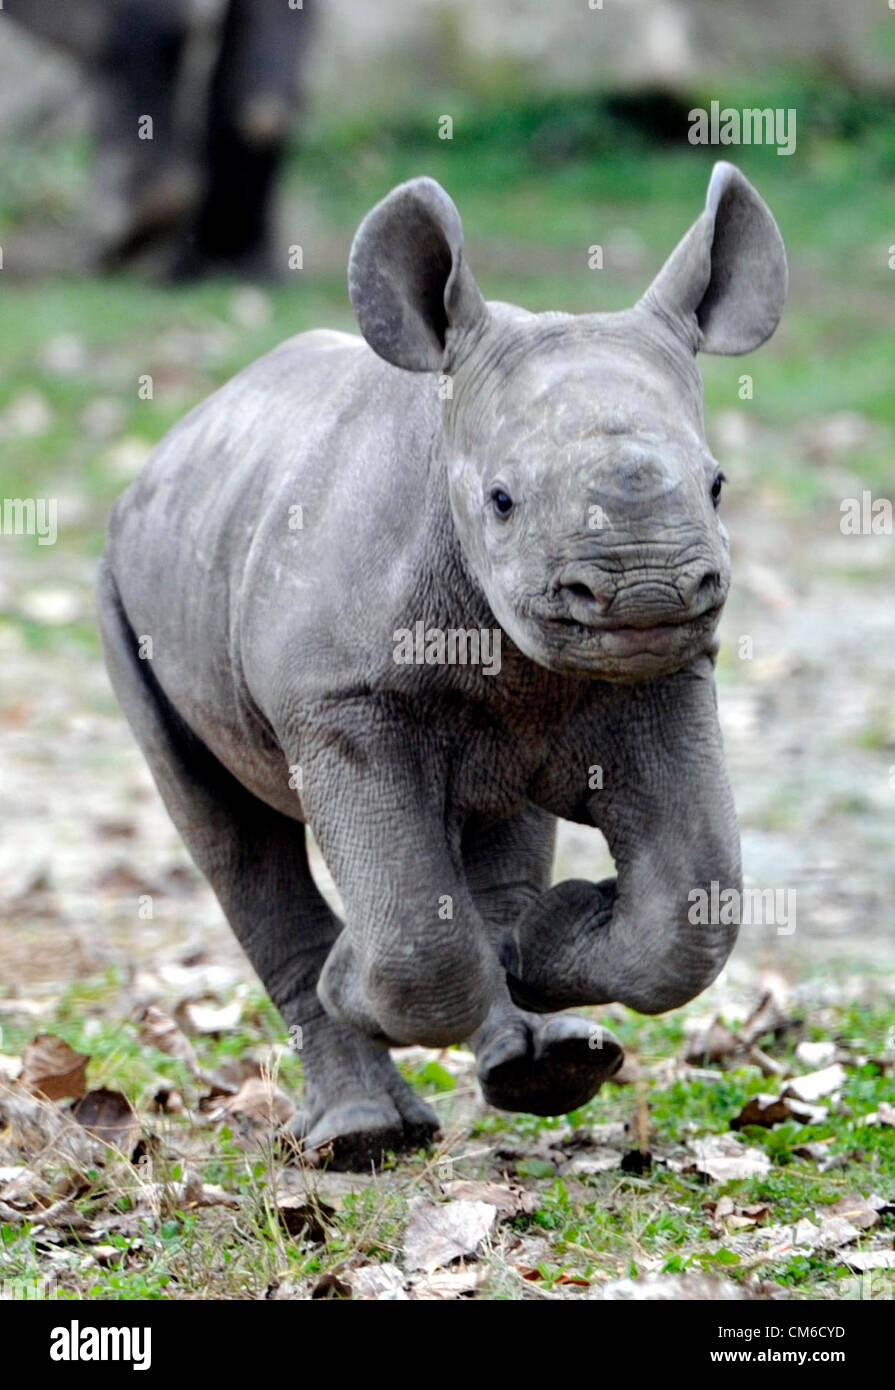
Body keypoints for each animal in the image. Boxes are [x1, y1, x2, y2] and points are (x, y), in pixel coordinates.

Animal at [98, 161, 786, 1166]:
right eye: (499, 500)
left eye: (717, 484)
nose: (647, 591)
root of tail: (179, 436)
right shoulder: (340, 702)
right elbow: (408, 933)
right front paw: (356, 973)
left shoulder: (663, 671)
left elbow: (692, 902)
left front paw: (548, 937)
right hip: (121, 584)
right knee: (227, 832)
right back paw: (361, 1137)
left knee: (487, 822)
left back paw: (544, 1052)